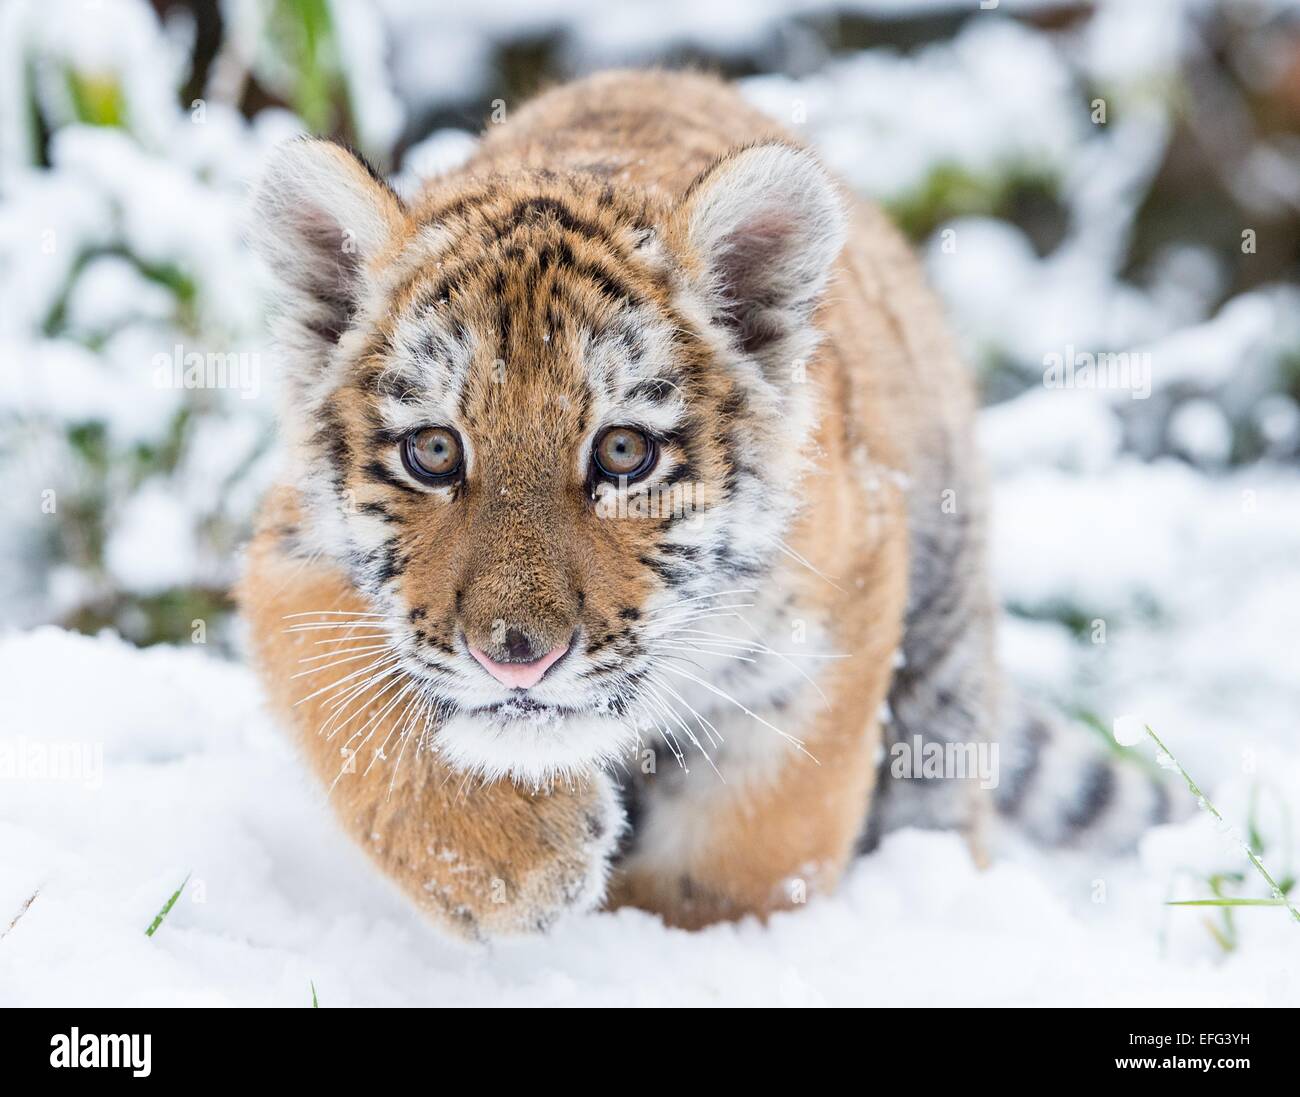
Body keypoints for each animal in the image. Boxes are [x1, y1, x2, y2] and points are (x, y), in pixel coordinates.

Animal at [239, 69, 1171, 940]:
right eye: (432, 452)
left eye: (624, 453)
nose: (517, 658)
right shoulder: (290, 545)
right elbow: (352, 703)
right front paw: (511, 865)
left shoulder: (842, 610)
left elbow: (748, 849)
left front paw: (672, 939)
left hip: (944, 672)